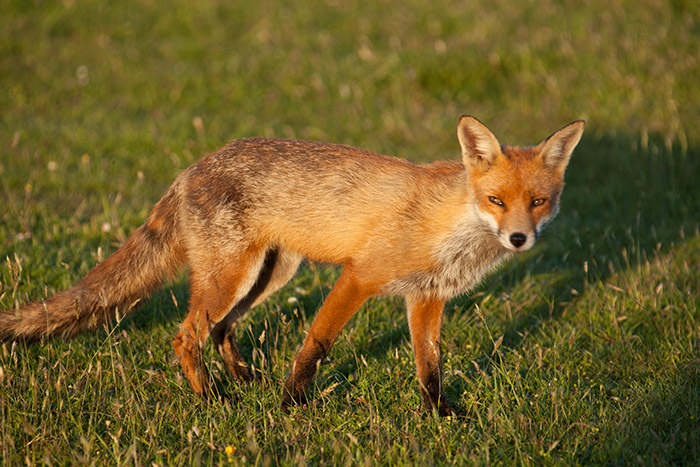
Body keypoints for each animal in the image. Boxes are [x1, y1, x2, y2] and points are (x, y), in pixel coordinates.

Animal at [0, 116, 584, 416]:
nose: (518, 239)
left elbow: (429, 369)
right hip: (232, 277)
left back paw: (242, 380)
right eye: (495, 200)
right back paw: (213, 399)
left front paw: (442, 418)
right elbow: (317, 343)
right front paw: (290, 404)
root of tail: (191, 168)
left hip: (269, 275)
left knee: (221, 330)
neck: (451, 229)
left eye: (537, 202)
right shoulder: (359, 276)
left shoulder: (426, 297)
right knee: (186, 336)